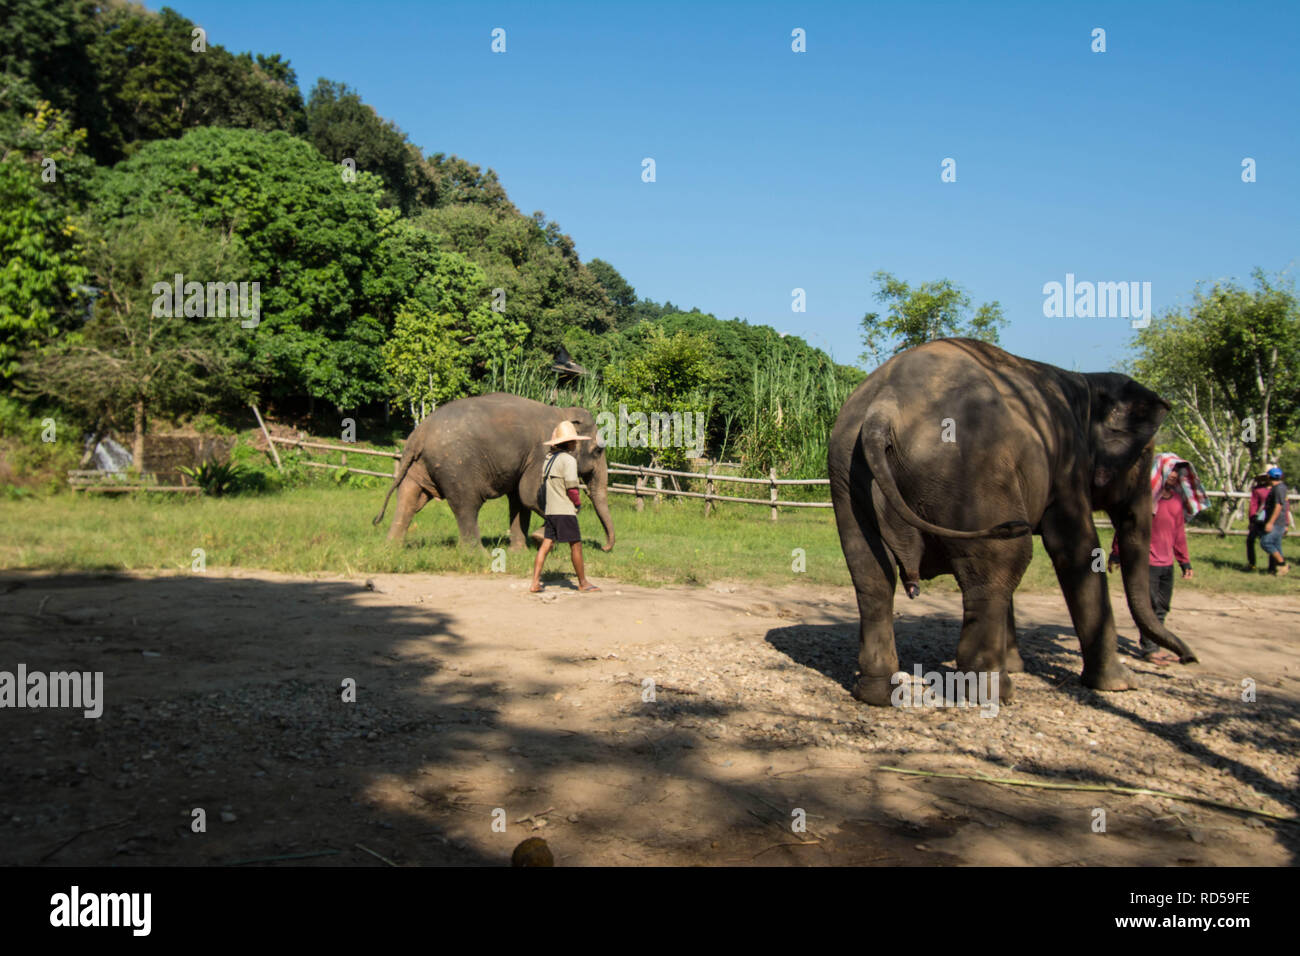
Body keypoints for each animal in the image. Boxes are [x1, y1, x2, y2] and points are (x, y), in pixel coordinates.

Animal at [372, 393, 615, 552]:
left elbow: (519, 500)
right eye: (598, 450)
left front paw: (520, 552)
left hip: (419, 465)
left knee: (409, 498)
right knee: (467, 505)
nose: (604, 548)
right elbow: (529, 494)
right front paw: (538, 538)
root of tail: (418, 434)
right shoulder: (541, 453)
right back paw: (478, 555)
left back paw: (391, 549)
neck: (562, 412)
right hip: (456, 467)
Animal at [827, 338, 1196, 707]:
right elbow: (1078, 550)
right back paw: (991, 692)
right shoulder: (1068, 464)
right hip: (971, 472)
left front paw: (1019, 665)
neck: (1087, 384)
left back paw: (879, 693)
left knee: (872, 574)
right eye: (1145, 455)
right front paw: (1119, 684)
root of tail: (882, 410)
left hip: (849, 475)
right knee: (1002, 560)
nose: (1188, 658)